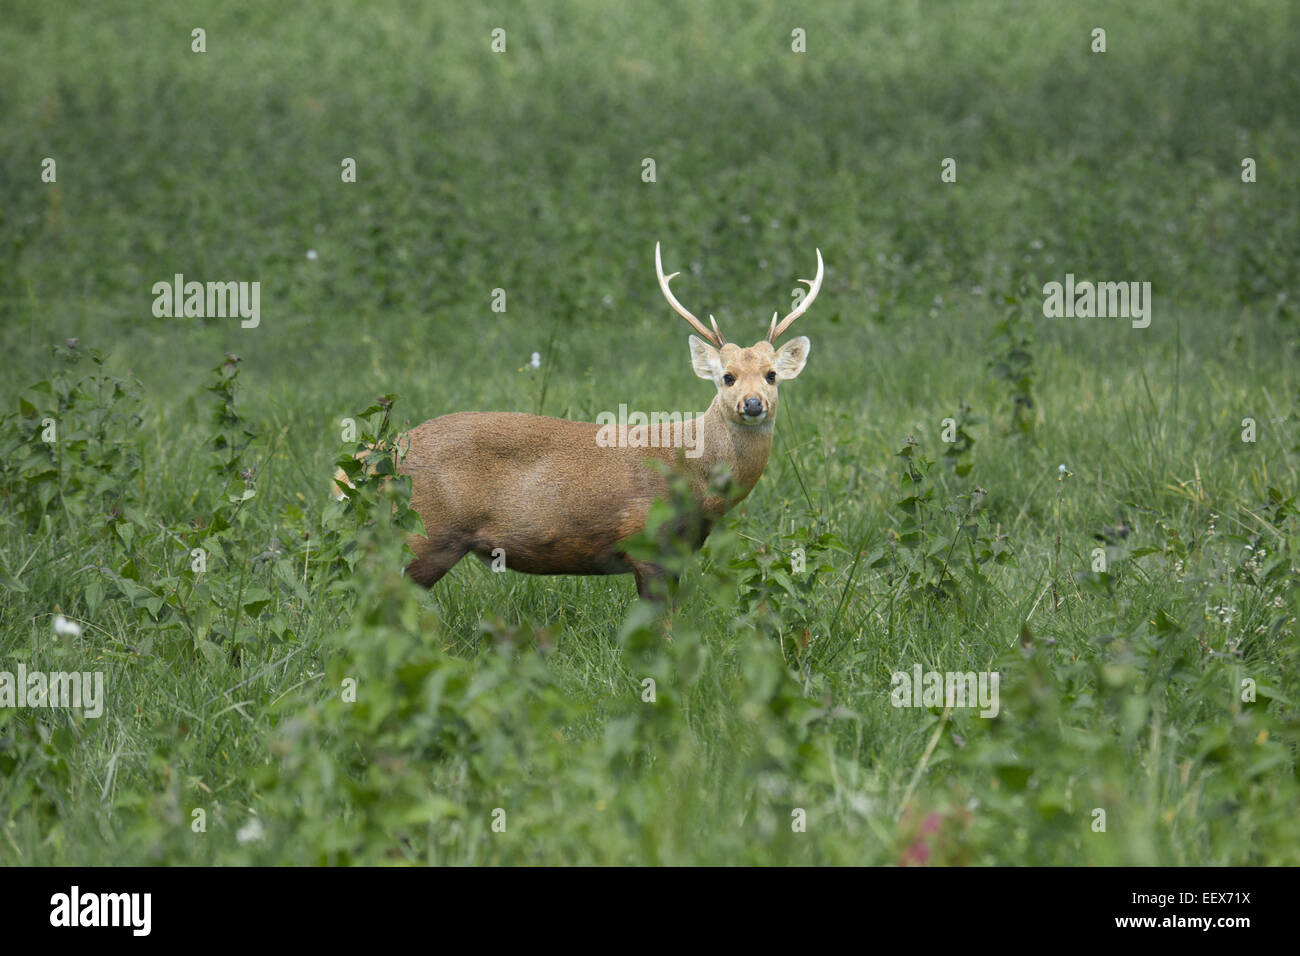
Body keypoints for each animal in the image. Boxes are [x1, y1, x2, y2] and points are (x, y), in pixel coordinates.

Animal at [335, 242, 823, 601]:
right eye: (727, 376)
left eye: (772, 374)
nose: (753, 404)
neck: (693, 472)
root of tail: (379, 453)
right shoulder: (649, 542)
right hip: (427, 530)